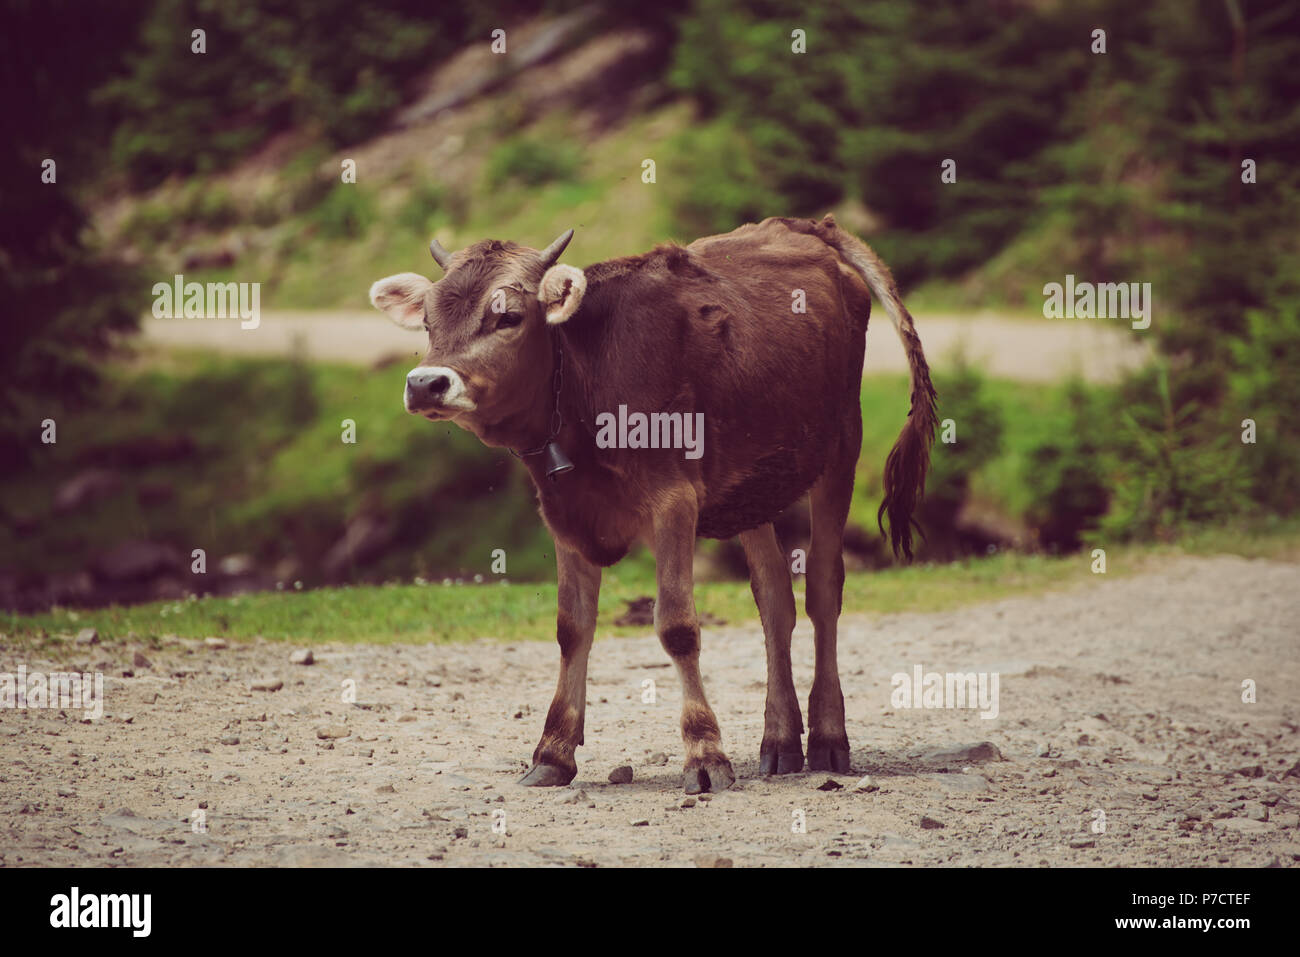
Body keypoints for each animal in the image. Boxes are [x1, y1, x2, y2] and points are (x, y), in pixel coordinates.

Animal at [369, 214, 937, 793]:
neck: (588, 385)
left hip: (841, 447)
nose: (426, 383)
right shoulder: (563, 510)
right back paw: (779, 740)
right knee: (775, 599)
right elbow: (572, 629)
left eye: (507, 316)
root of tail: (801, 226)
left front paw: (704, 754)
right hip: (754, 485)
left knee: (823, 589)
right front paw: (553, 751)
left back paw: (827, 736)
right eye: (429, 322)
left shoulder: (673, 501)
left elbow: (677, 627)